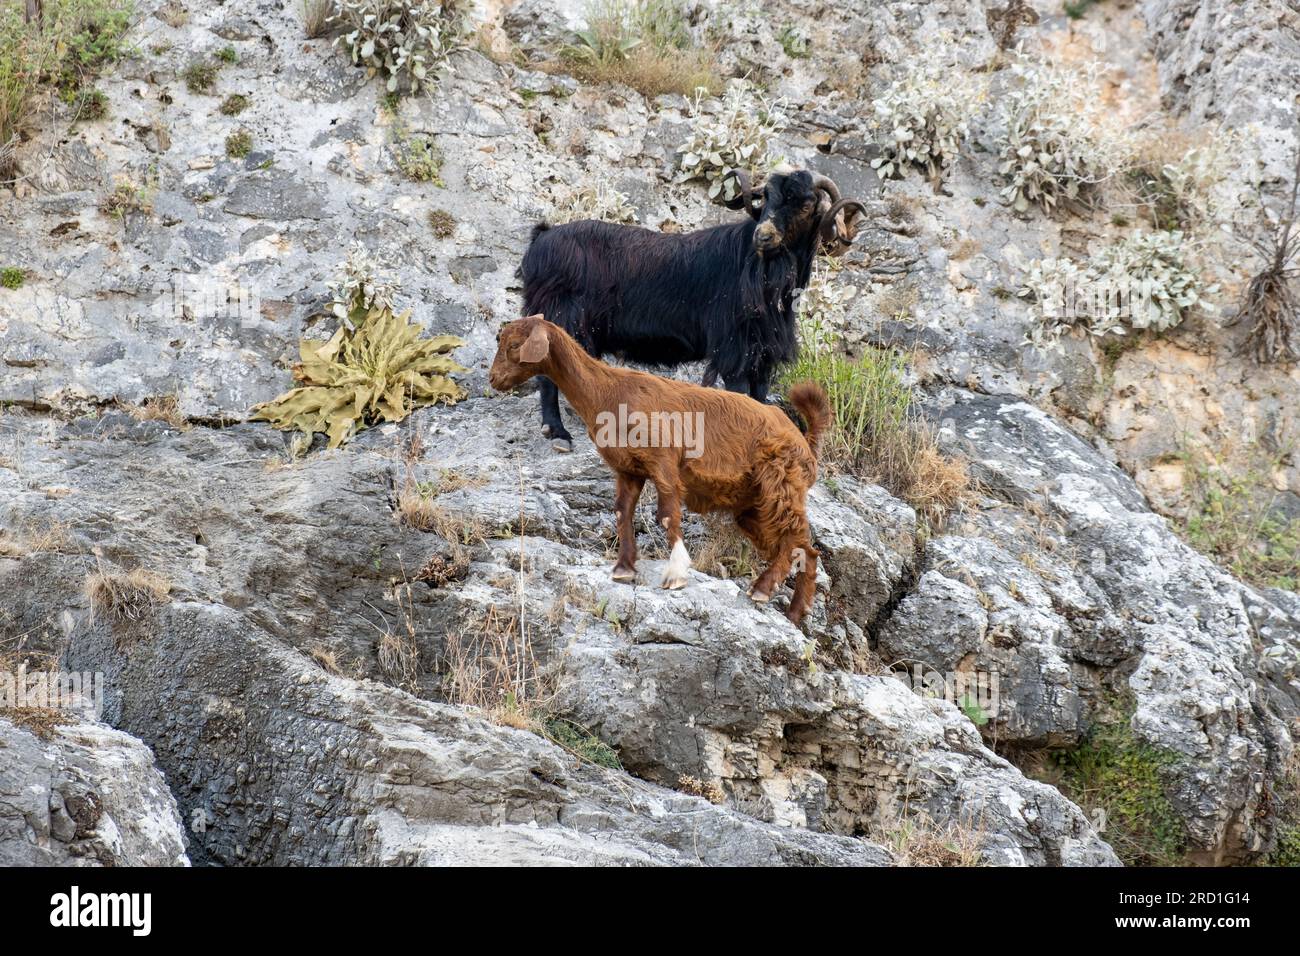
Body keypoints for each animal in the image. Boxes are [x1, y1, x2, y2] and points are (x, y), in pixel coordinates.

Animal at [489, 315, 832, 624]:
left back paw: (763, 588)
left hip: (781, 484)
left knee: (797, 539)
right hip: (753, 506)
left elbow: (667, 514)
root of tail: (805, 441)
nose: (493, 379)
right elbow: (623, 511)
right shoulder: (628, 470)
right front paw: (624, 569)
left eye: (515, 345)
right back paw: (795, 612)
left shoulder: (664, 460)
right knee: (803, 550)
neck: (609, 391)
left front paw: (676, 574)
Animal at [520, 168, 864, 452]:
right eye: (766, 198)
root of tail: (542, 238)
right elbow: (742, 394)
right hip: (561, 318)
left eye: (806, 205)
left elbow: (760, 396)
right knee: (547, 374)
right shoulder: (735, 351)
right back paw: (558, 434)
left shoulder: (762, 356)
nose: (763, 236)